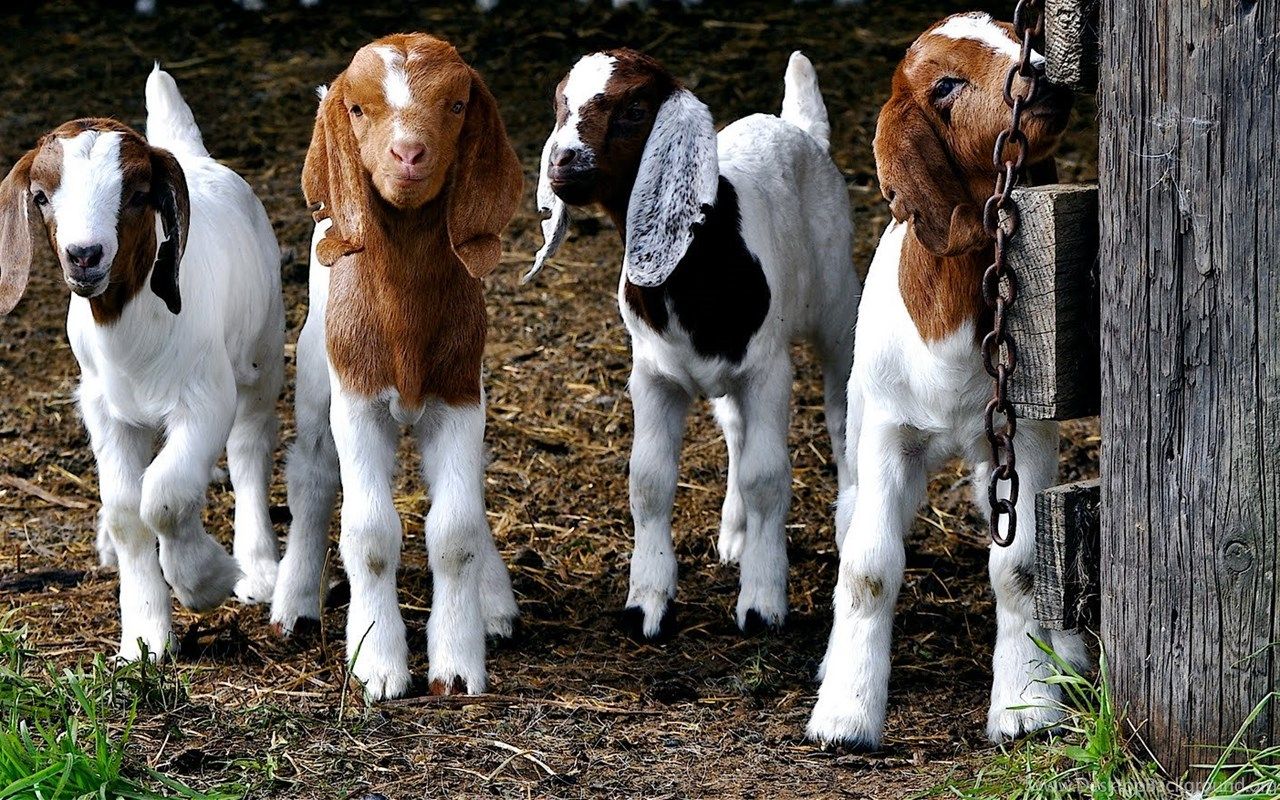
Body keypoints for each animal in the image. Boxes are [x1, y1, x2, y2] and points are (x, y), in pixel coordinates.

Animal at [0, 66, 284, 660]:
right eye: (40, 196)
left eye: (135, 194)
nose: (84, 255)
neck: (129, 324)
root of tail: (190, 154)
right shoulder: (103, 408)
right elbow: (128, 511)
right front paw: (145, 638)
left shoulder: (206, 399)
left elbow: (166, 496)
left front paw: (207, 580)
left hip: (262, 352)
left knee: (250, 445)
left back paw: (259, 569)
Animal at [269, 34, 523, 700]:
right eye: (358, 109)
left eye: (457, 105)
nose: (409, 154)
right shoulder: (356, 401)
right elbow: (370, 534)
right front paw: (378, 662)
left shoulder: (460, 397)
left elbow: (456, 530)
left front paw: (456, 665)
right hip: (317, 376)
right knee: (311, 475)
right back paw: (293, 603)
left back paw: (495, 604)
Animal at [529, 50, 860, 640]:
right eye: (560, 103)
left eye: (635, 108)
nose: (562, 162)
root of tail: (798, 127)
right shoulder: (653, 376)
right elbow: (649, 480)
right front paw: (646, 603)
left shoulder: (768, 370)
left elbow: (767, 476)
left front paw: (762, 602)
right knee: (734, 429)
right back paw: (735, 534)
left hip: (837, 306)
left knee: (840, 417)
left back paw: (844, 527)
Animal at [806, 12, 1090, 749]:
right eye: (945, 86)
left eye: (1017, 32)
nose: (1042, 75)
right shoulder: (886, 432)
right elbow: (868, 568)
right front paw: (845, 717)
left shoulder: (1019, 439)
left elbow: (1021, 569)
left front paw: (1026, 707)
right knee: (849, 522)